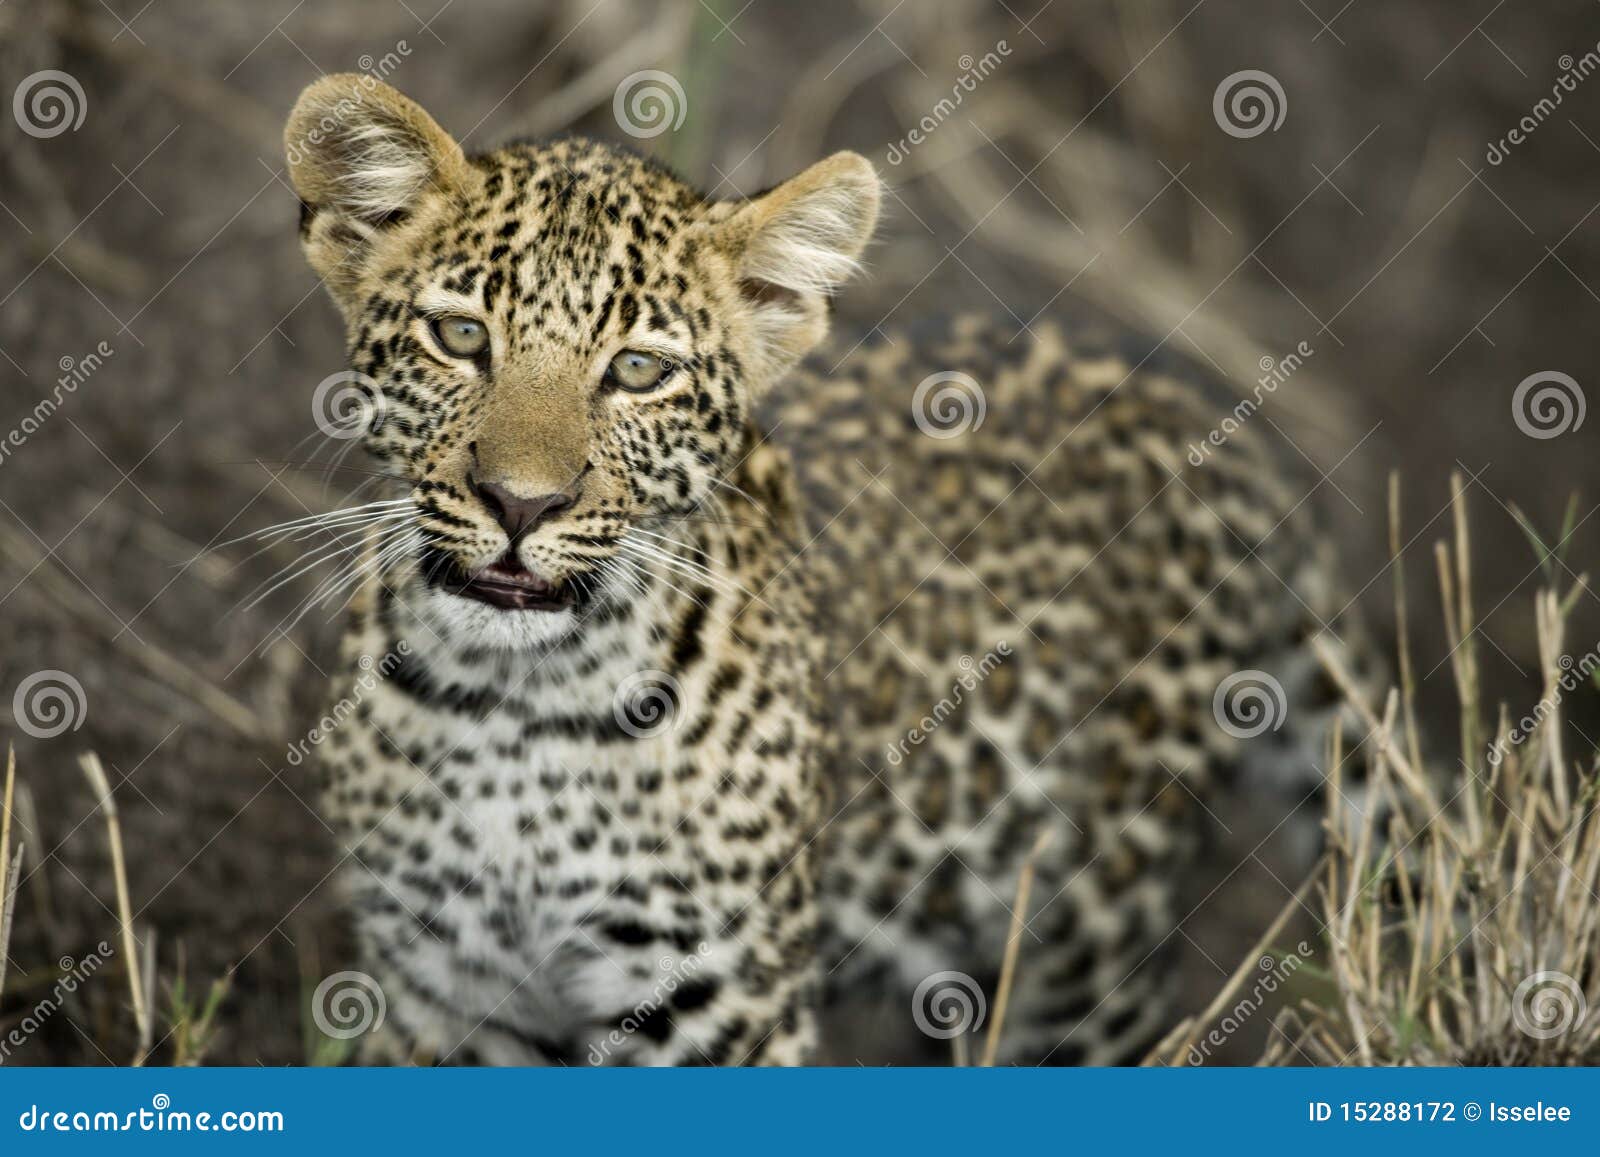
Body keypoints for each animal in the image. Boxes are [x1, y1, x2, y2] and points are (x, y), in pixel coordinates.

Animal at [282, 74, 1370, 1067]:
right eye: (461, 335)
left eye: (638, 370)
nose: (519, 503)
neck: (512, 709)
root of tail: (1222, 423)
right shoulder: (442, 994)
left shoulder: (718, 1007)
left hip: (1088, 940)